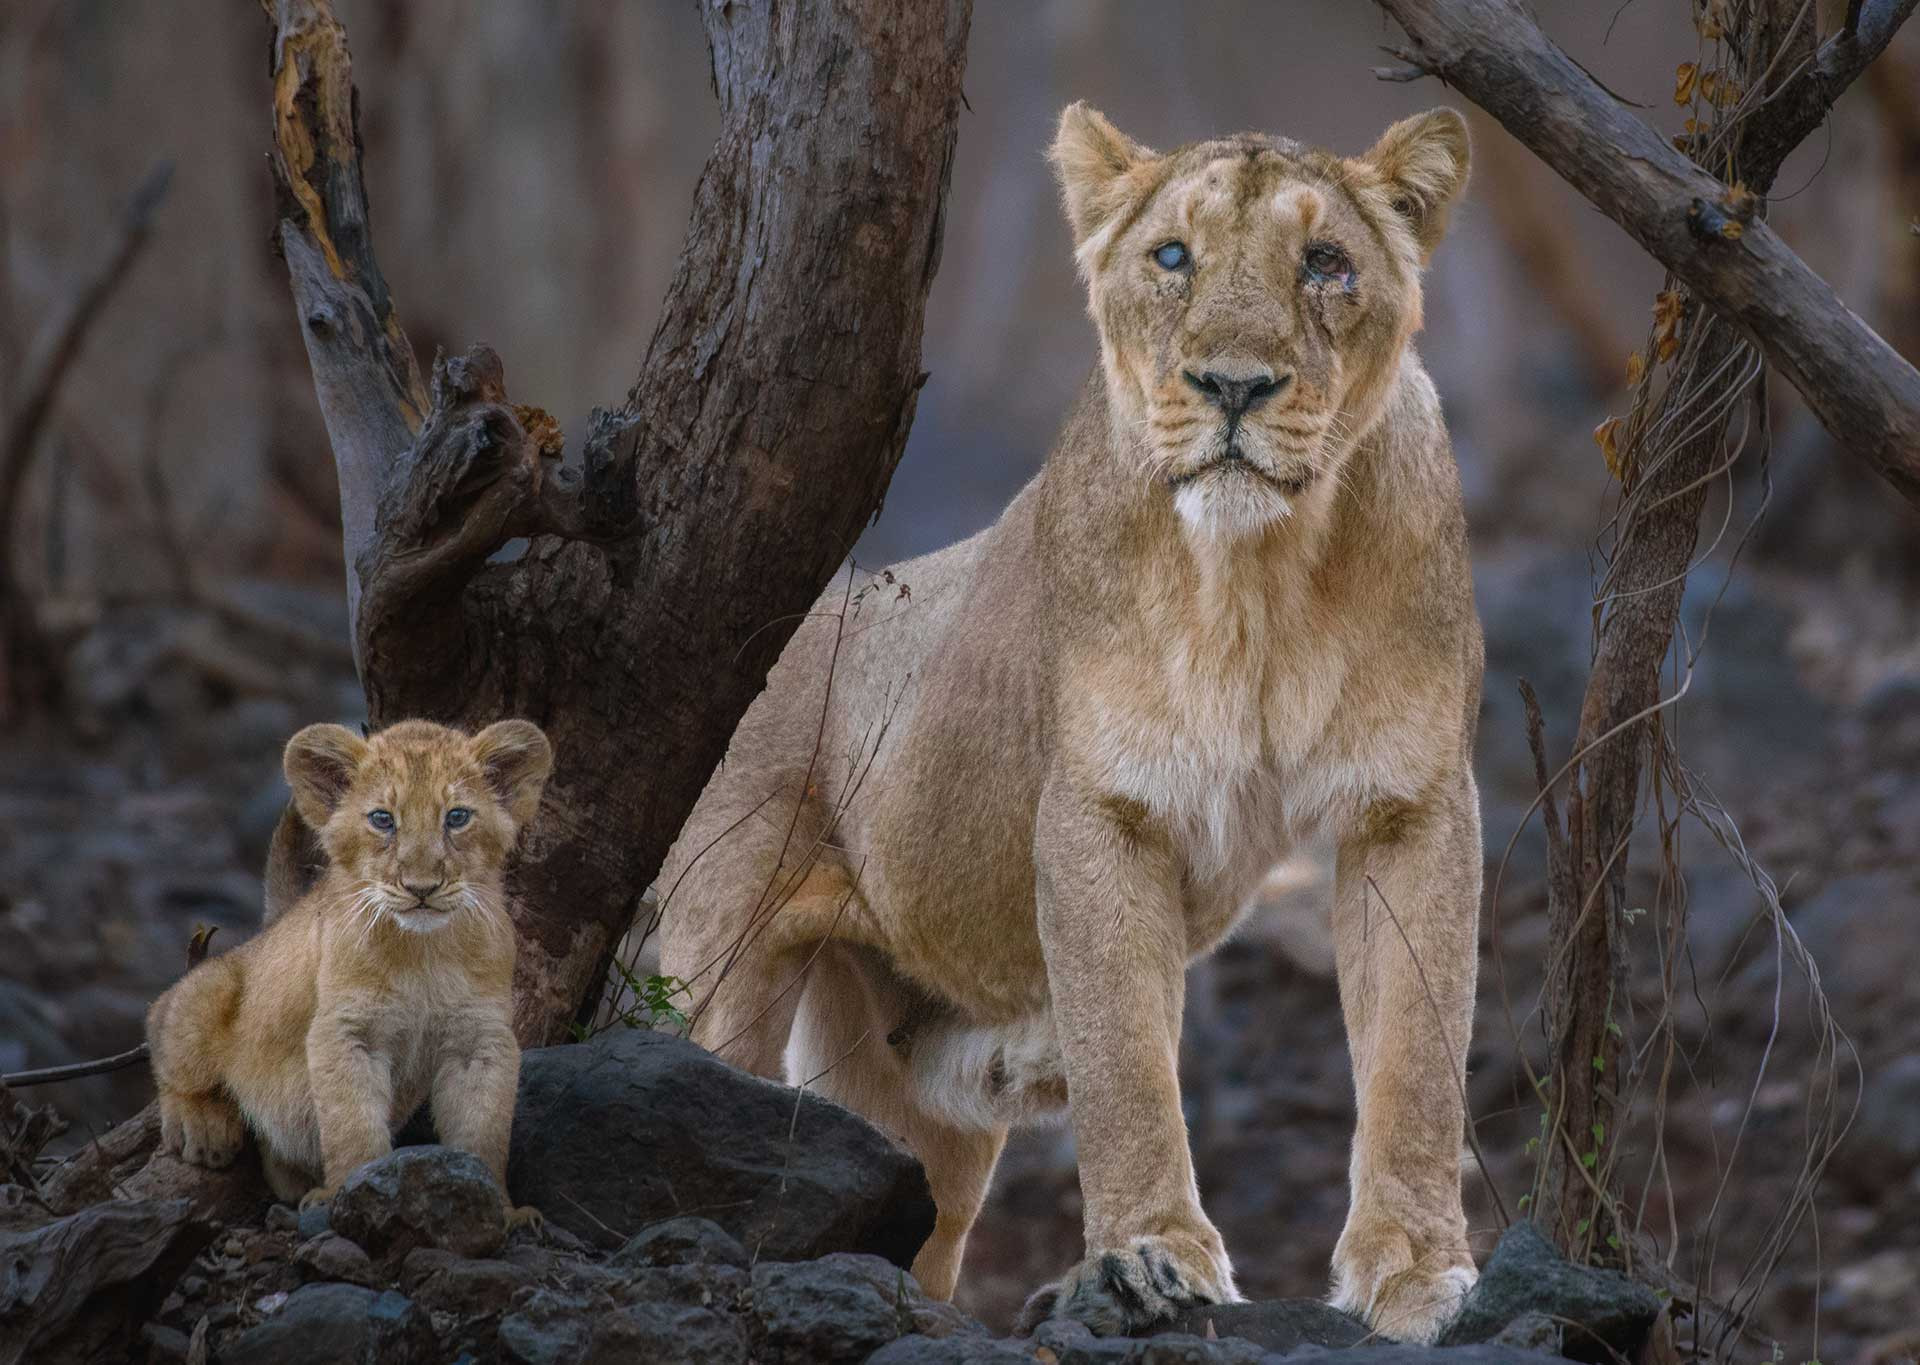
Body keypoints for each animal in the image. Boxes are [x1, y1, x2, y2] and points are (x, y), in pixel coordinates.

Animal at [147, 718, 553, 1220]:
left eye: (457, 817)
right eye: (383, 819)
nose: (421, 887)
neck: (425, 952)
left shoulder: (480, 1038)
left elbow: (484, 1128)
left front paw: (500, 1208)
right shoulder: (345, 1030)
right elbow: (351, 1122)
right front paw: (349, 1191)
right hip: (213, 987)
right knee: (164, 1026)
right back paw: (202, 1128)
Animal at [657, 103, 1481, 1343]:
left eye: (1326, 264)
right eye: (1173, 257)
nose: (1233, 385)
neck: (1260, 577)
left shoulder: (1412, 802)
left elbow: (1419, 1053)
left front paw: (1417, 1274)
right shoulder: (1106, 807)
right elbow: (1126, 1060)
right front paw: (1156, 1259)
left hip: (910, 1102)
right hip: (719, 960)